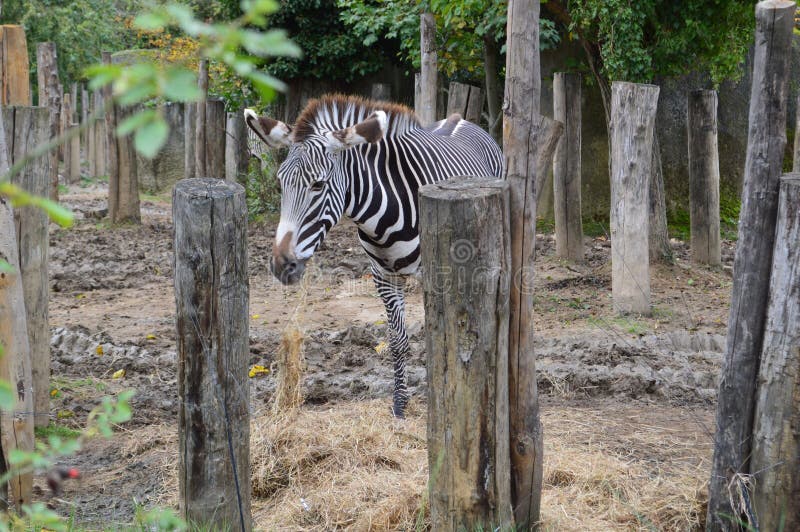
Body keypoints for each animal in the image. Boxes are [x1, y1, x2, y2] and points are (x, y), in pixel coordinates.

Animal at [245, 94, 504, 418]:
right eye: (281, 183)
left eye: (318, 184)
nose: (281, 265)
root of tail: (459, 118)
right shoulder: (383, 276)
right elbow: (397, 340)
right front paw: (400, 405)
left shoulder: (437, 275)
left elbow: (441, 334)